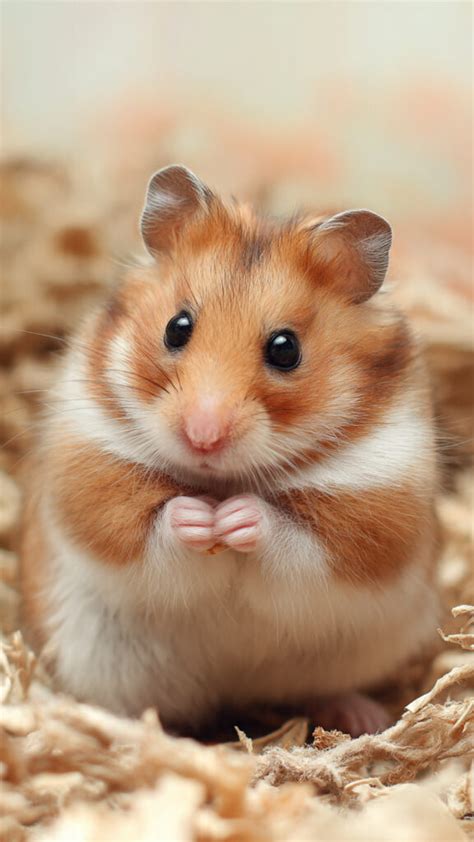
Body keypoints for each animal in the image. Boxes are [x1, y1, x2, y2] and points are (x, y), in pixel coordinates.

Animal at [20, 165, 439, 737]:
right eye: (177, 327)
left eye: (285, 349)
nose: (203, 436)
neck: (221, 481)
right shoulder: (91, 480)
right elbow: (148, 528)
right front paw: (201, 518)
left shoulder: (374, 519)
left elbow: (298, 542)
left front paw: (237, 518)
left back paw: (364, 717)